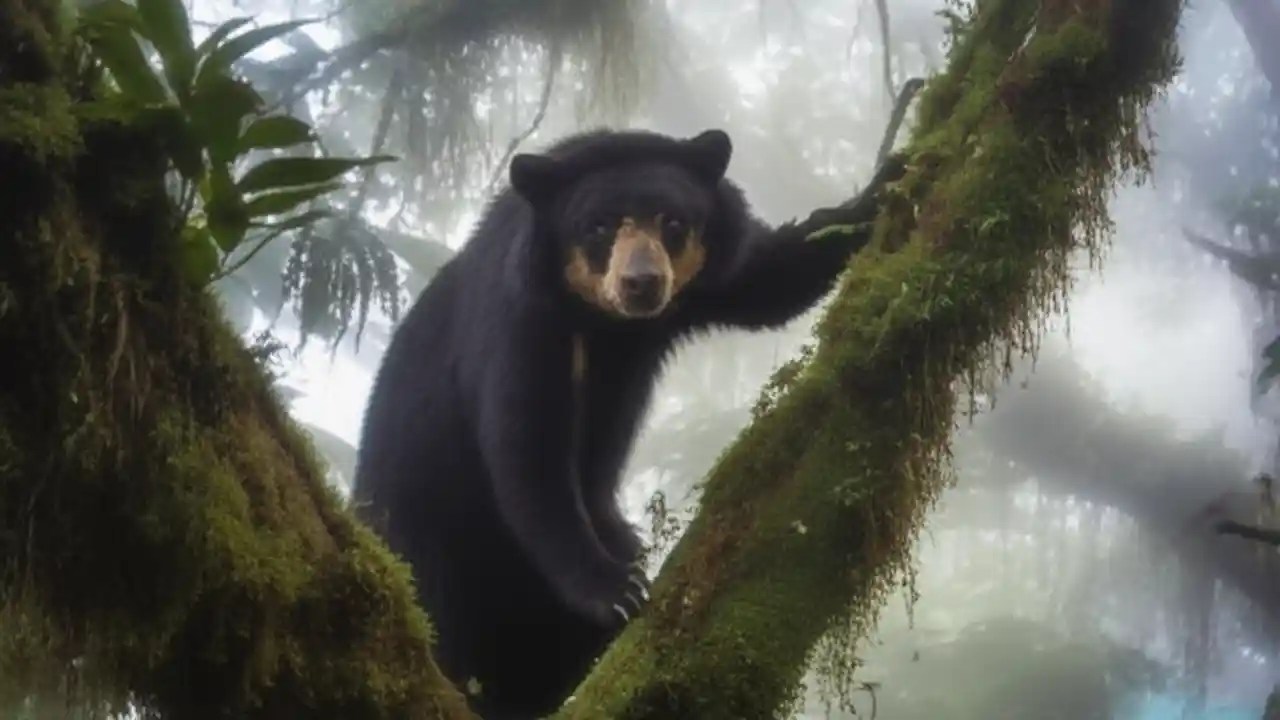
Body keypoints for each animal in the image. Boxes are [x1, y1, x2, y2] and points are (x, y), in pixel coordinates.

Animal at [351, 127, 883, 719]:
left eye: (673, 221)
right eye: (598, 226)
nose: (642, 283)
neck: (602, 322)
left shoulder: (697, 287)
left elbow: (770, 281)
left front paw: (885, 183)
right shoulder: (521, 322)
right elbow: (526, 451)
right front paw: (616, 593)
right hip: (429, 537)